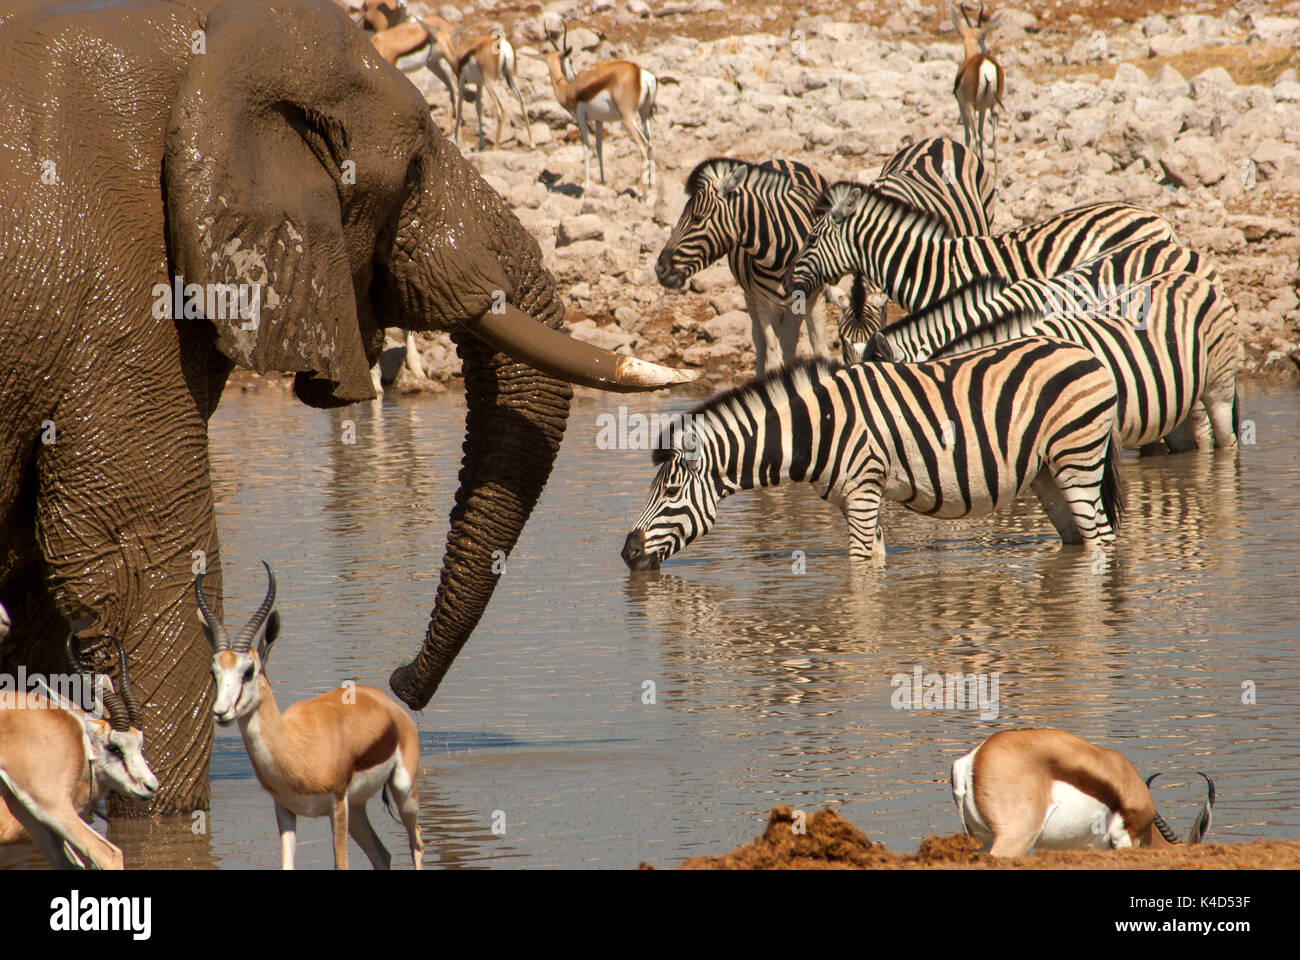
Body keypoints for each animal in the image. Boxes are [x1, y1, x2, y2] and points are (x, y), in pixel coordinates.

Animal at [620, 340, 1124, 571]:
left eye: (669, 492)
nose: (626, 553)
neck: (816, 426)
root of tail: (1086, 352)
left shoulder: (864, 487)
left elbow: (859, 567)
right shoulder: (853, 497)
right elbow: (874, 560)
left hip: (1077, 459)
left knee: (1100, 536)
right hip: (1046, 473)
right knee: (1078, 539)